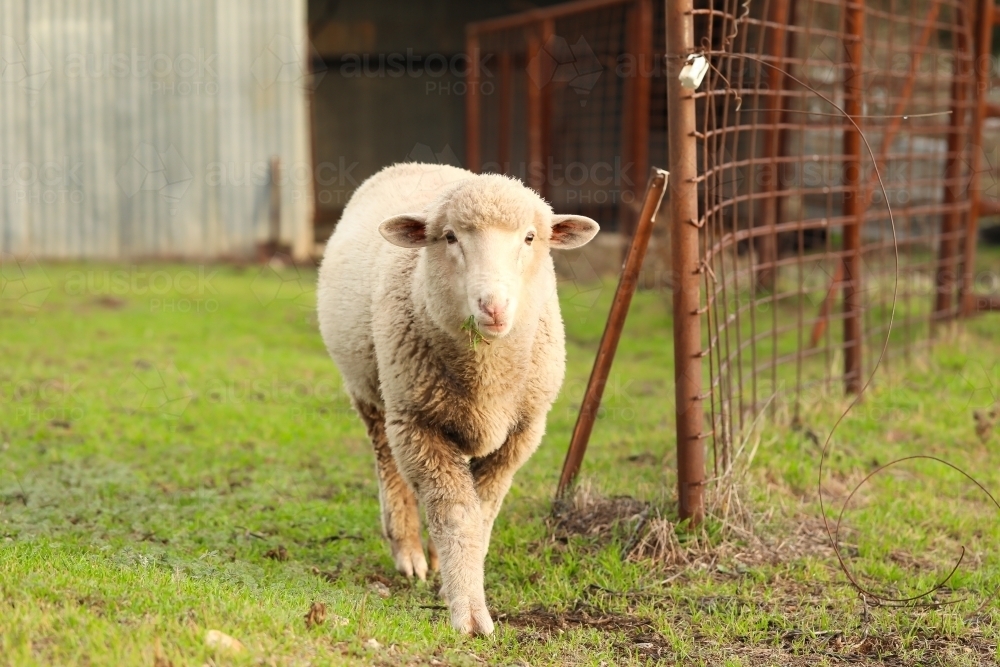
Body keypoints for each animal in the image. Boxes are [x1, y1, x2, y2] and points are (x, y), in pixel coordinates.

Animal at [316, 162, 599, 635]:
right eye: (449, 237)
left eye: (530, 238)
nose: (494, 306)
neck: (487, 374)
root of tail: (414, 165)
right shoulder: (418, 424)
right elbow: (455, 515)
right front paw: (468, 612)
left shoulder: (520, 433)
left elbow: (478, 516)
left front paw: (460, 582)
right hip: (377, 396)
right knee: (389, 466)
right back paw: (410, 552)